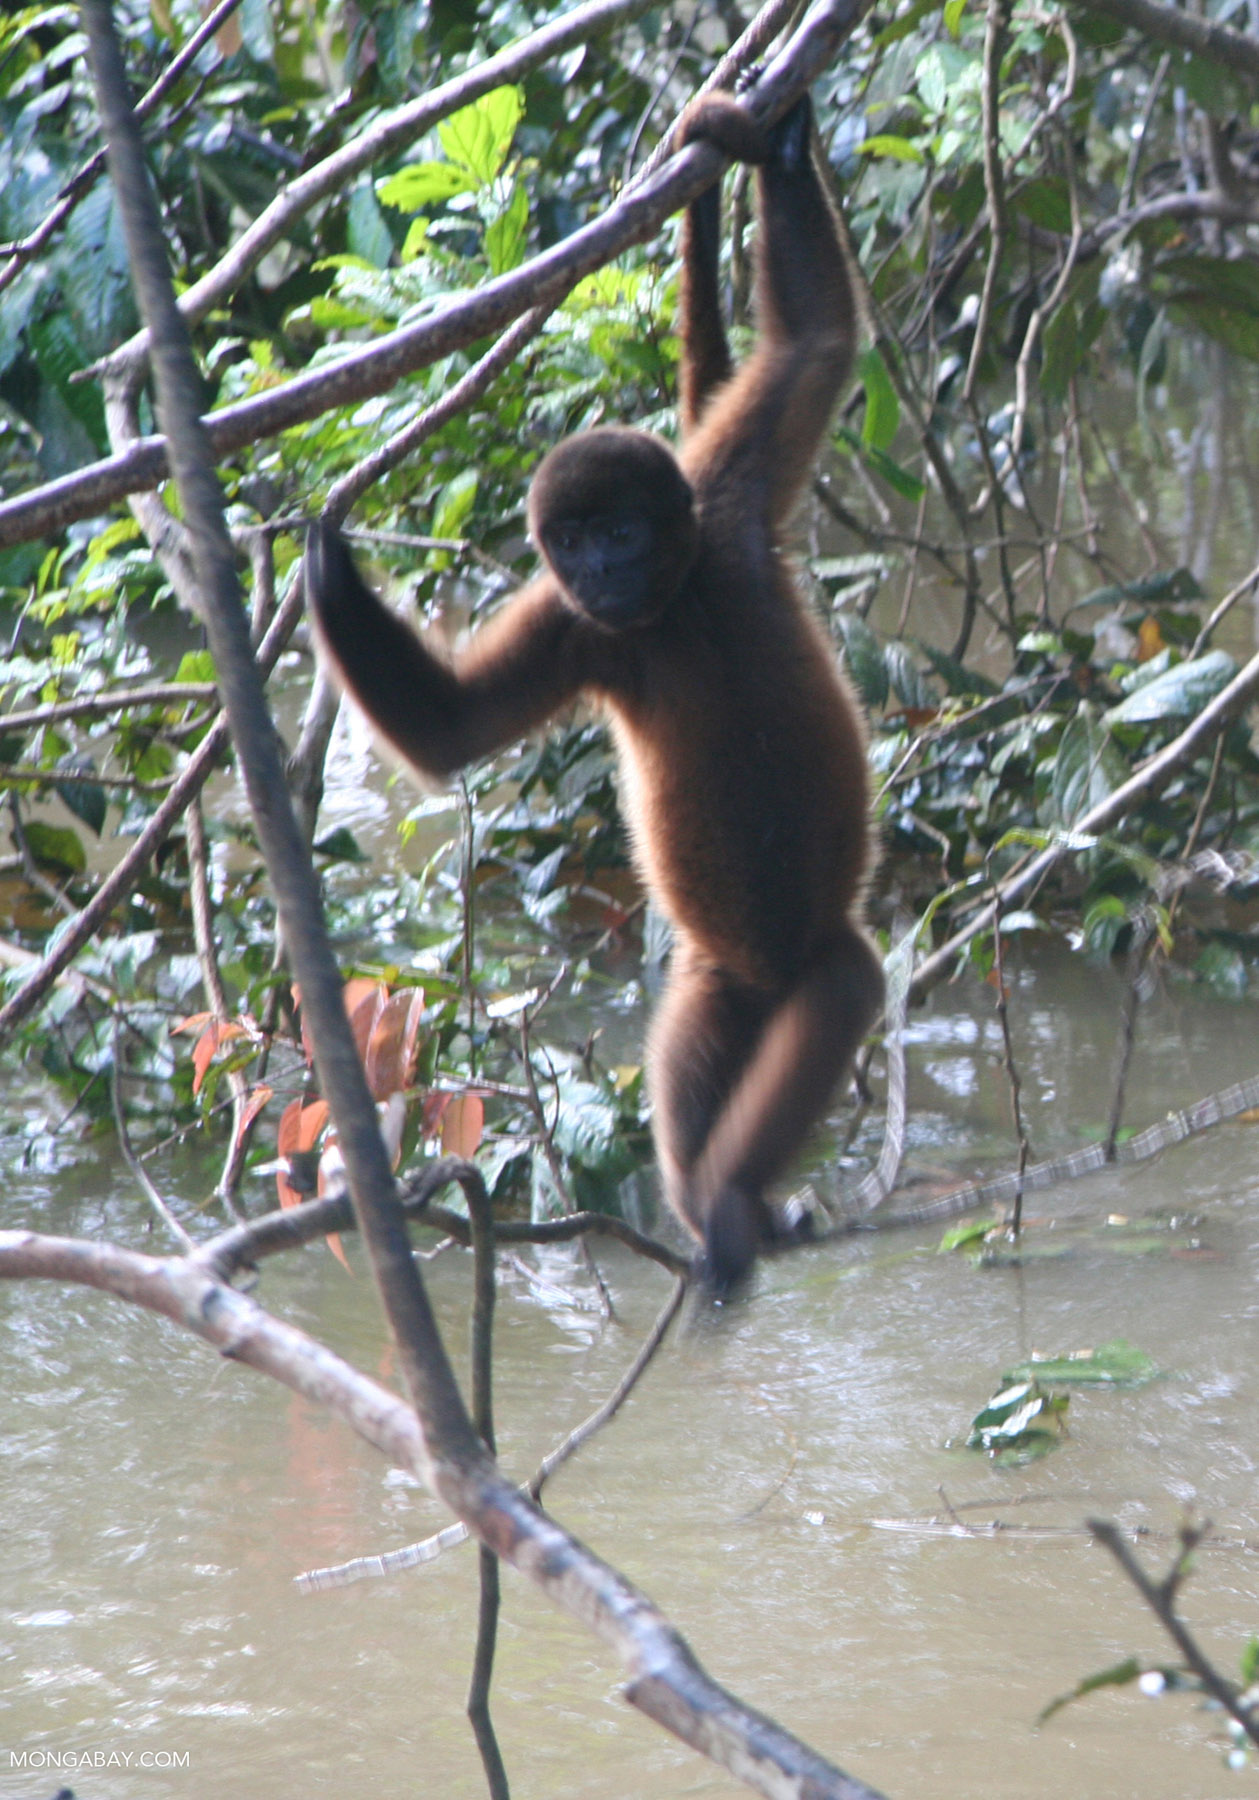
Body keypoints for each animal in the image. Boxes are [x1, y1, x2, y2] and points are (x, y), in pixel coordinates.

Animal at [304, 89, 884, 1298]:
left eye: (615, 529)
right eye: (566, 543)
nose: (596, 568)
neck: (674, 607)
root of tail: (764, 974)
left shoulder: (728, 497)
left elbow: (811, 342)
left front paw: (781, 144)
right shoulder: (577, 632)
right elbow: (451, 728)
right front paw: (321, 570)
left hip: (788, 967)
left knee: (844, 984)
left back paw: (725, 1200)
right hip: (717, 983)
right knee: (692, 1065)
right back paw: (711, 1197)